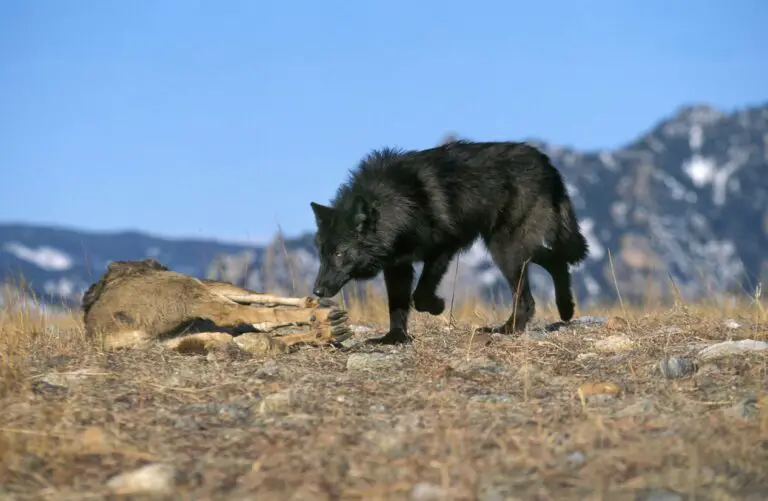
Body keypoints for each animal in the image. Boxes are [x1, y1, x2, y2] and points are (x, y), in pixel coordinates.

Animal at [309, 140, 589, 344]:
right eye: (322, 254)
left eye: (339, 253)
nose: (317, 292)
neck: (397, 204)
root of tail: (546, 162)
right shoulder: (397, 264)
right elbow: (397, 304)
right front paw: (394, 338)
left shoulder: (443, 248)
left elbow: (419, 296)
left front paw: (437, 307)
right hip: (507, 245)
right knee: (554, 258)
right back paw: (566, 309)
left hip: (504, 250)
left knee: (528, 298)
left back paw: (508, 329)